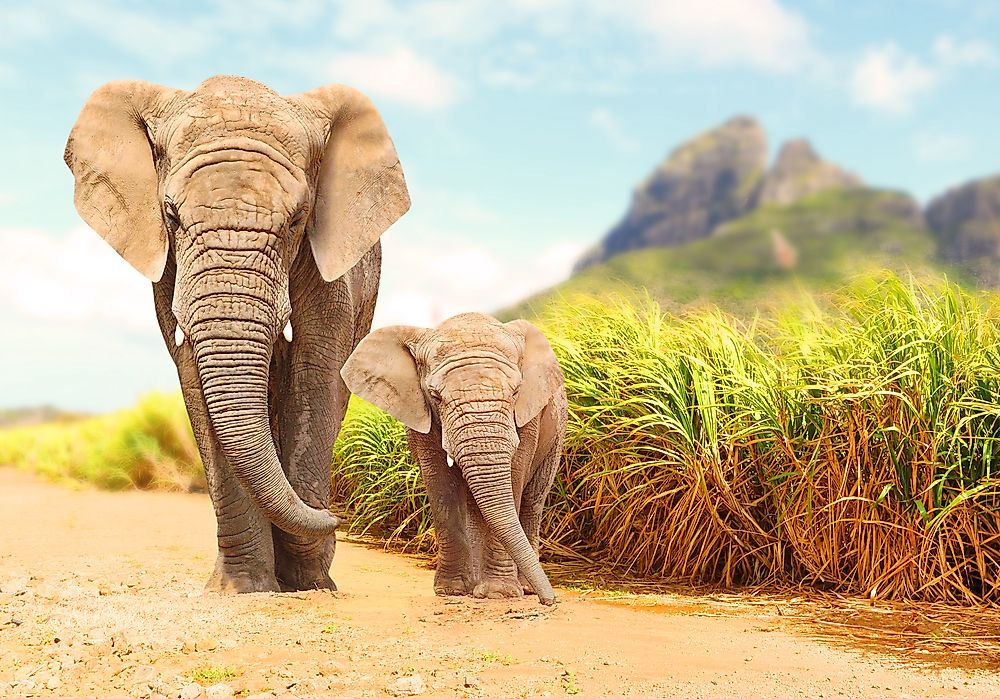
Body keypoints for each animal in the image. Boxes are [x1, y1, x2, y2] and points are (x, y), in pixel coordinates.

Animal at [63, 75, 410, 593]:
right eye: (170, 216)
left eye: (298, 218)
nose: (338, 518)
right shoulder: (168, 269)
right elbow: (194, 377)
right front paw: (242, 589)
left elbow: (317, 370)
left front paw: (309, 581)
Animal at [341, 313, 567, 606]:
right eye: (435, 396)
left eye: (516, 392)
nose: (550, 601)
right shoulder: (420, 413)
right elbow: (441, 485)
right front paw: (452, 591)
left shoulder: (528, 418)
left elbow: (515, 477)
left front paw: (498, 594)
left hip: (557, 434)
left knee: (532, 501)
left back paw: (524, 588)